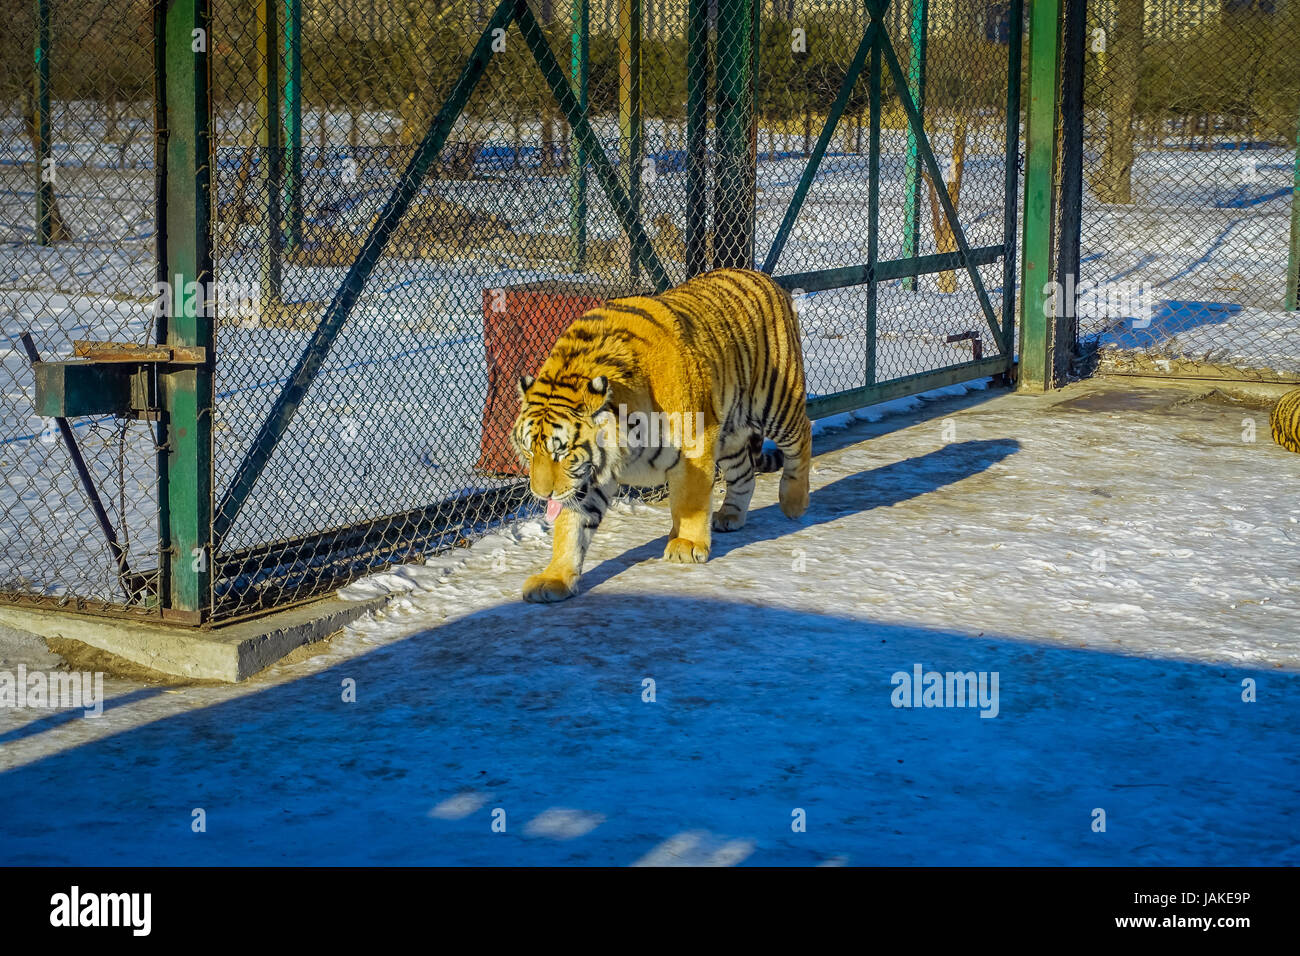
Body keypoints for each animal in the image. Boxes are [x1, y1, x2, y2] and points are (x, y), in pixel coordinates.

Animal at [510, 267, 813, 604]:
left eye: (561, 452)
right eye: (529, 452)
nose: (541, 495)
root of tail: (762, 276)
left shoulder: (697, 443)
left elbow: (690, 502)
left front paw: (686, 546)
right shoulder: (588, 479)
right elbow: (571, 528)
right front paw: (554, 578)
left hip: (776, 402)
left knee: (802, 435)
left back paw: (793, 502)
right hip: (731, 432)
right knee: (745, 473)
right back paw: (729, 516)